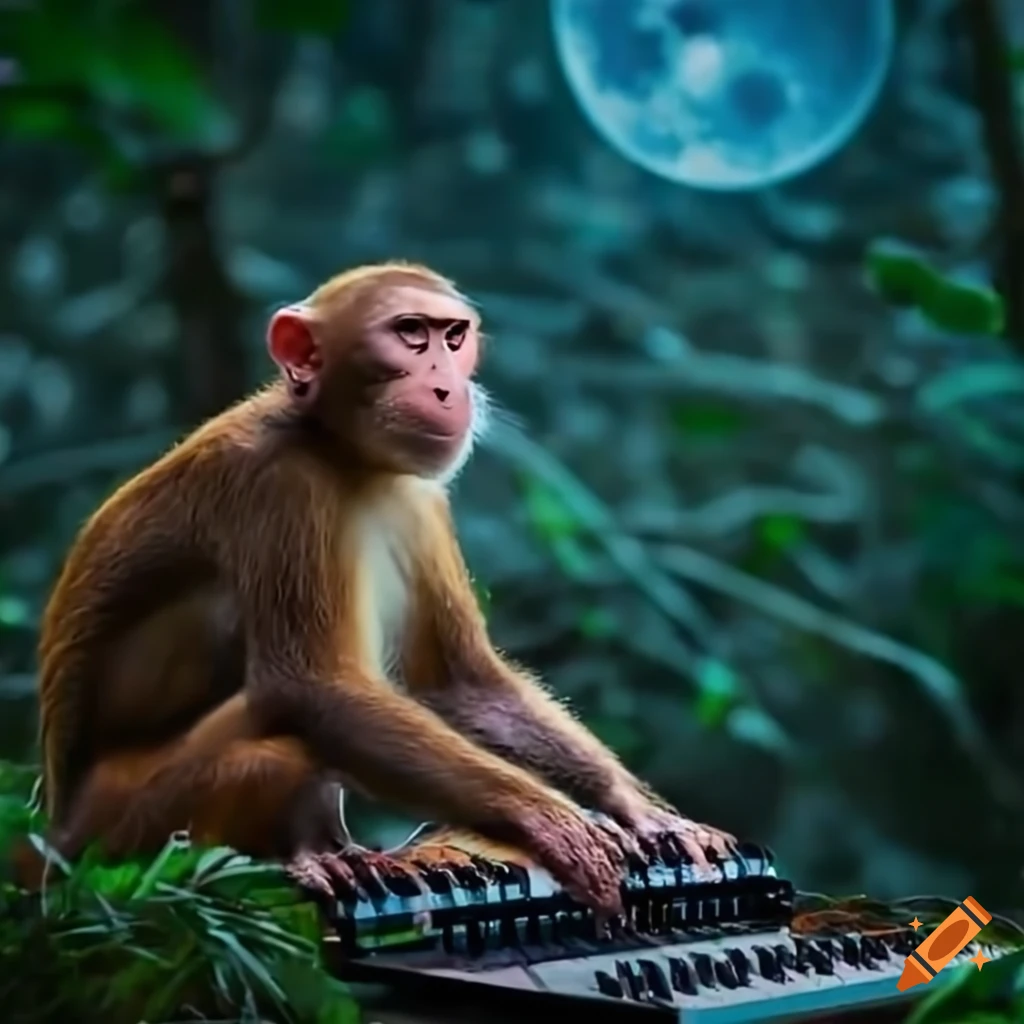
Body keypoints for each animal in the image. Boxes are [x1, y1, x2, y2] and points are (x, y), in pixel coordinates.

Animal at [35, 260, 734, 914]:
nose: (447, 385)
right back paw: (307, 852)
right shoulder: (281, 485)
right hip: (124, 828)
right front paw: (547, 821)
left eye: (453, 336)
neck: (338, 450)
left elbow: (460, 684)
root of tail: (56, 837)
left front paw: (632, 808)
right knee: (282, 738)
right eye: (409, 333)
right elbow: (314, 687)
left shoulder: (419, 497)